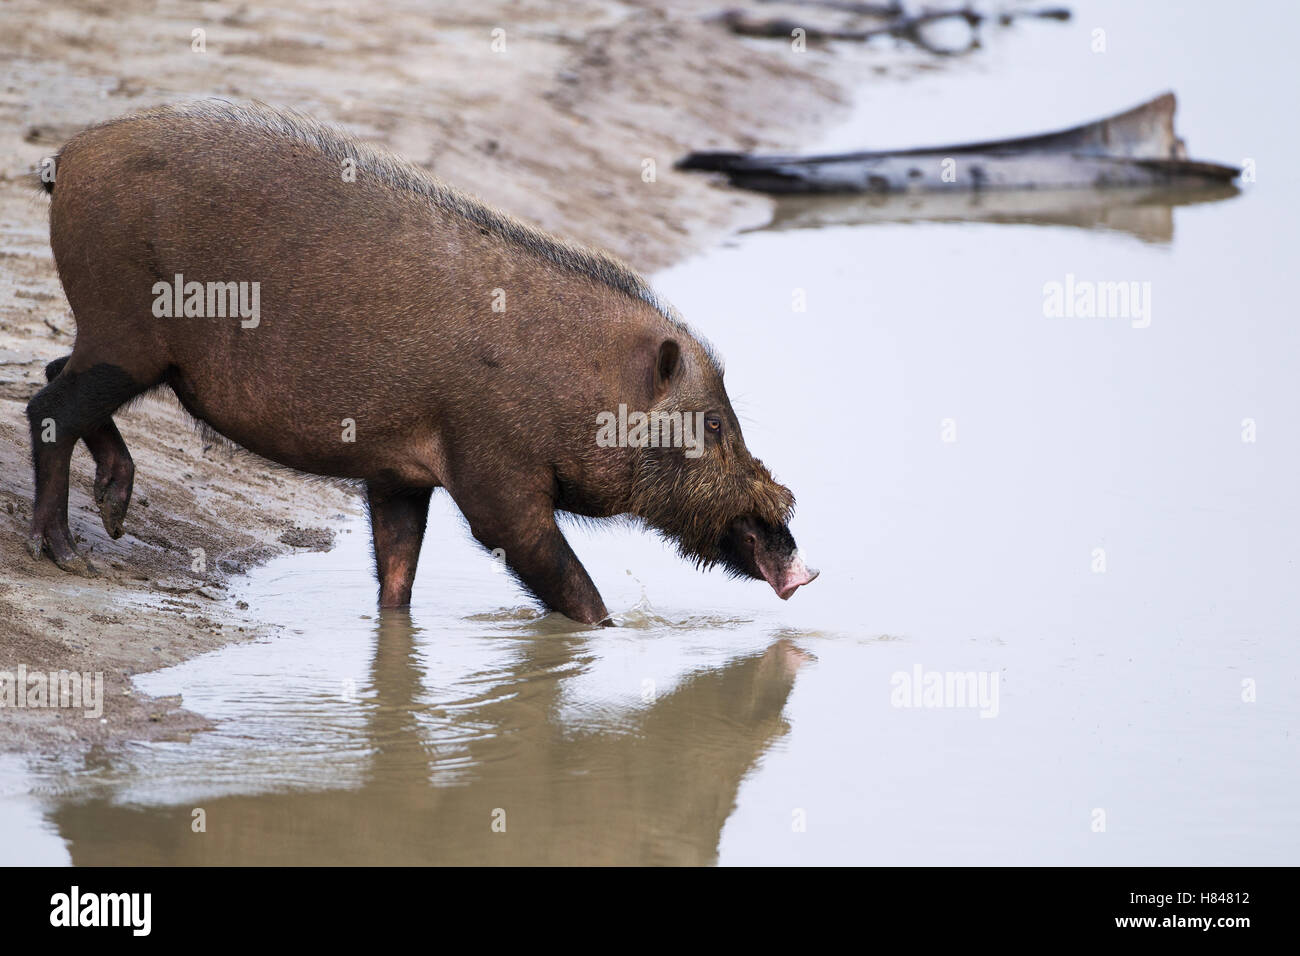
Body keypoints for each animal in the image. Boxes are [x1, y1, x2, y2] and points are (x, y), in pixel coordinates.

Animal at [27, 101, 816, 624]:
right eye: (711, 426)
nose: (795, 536)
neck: (577, 385)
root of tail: (69, 158)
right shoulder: (496, 483)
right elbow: (569, 588)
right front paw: (609, 635)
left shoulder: (398, 476)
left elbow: (397, 572)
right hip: (125, 334)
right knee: (47, 407)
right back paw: (69, 554)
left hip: (122, 344)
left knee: (51, 373)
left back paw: (113, 515)